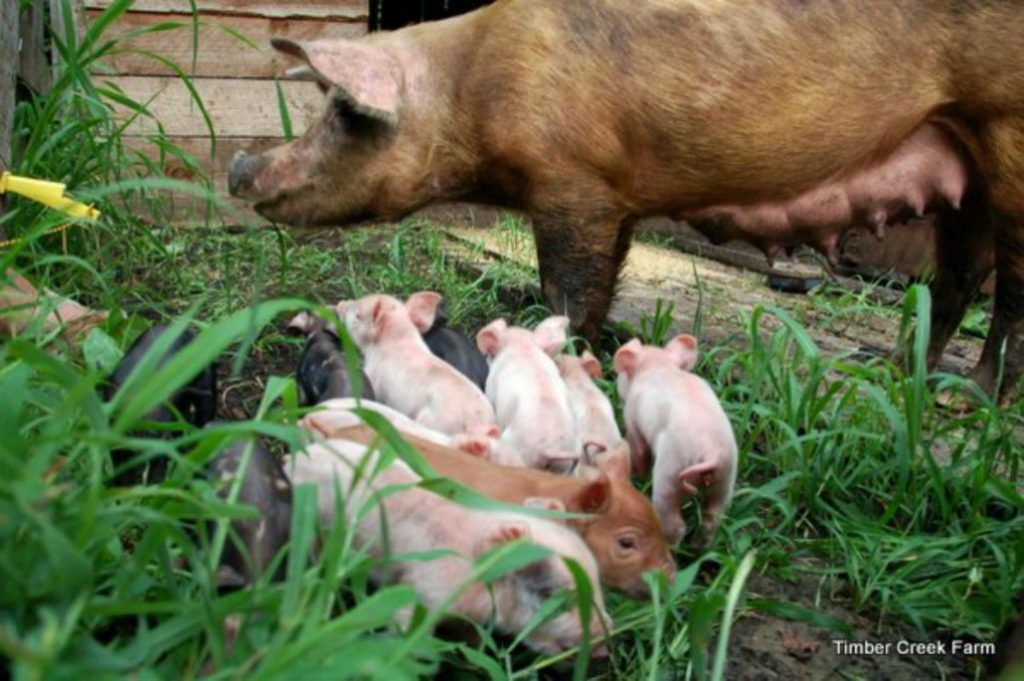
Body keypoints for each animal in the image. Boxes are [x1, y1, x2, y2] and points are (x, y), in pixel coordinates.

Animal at [227, 1, 1024, 401]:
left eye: (344, 113)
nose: (238, 168)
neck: (473, 90)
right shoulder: (617, 199)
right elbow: (608, 277)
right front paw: (605, 345)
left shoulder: (574, 185)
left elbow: (568, 285)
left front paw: (565, 348)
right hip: (963, 166)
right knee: (958, 278)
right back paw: (899, 374)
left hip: (1008, 128)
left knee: (1008, 286)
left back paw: (976, 397)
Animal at [477, 317, 579, 471]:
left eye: (488, 355)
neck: (523, 346)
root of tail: (551, 448)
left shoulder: (491, 389)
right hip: (563, 464)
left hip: (516, 446)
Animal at [614, 335, 737, 547]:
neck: (660, 366)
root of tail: (710, 452)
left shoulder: (632, 419)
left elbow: (639, 451)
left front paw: (637, 476)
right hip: (726, 475)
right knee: (713, 518)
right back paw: (698, 547)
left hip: (670, 473)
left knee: (674, 523)